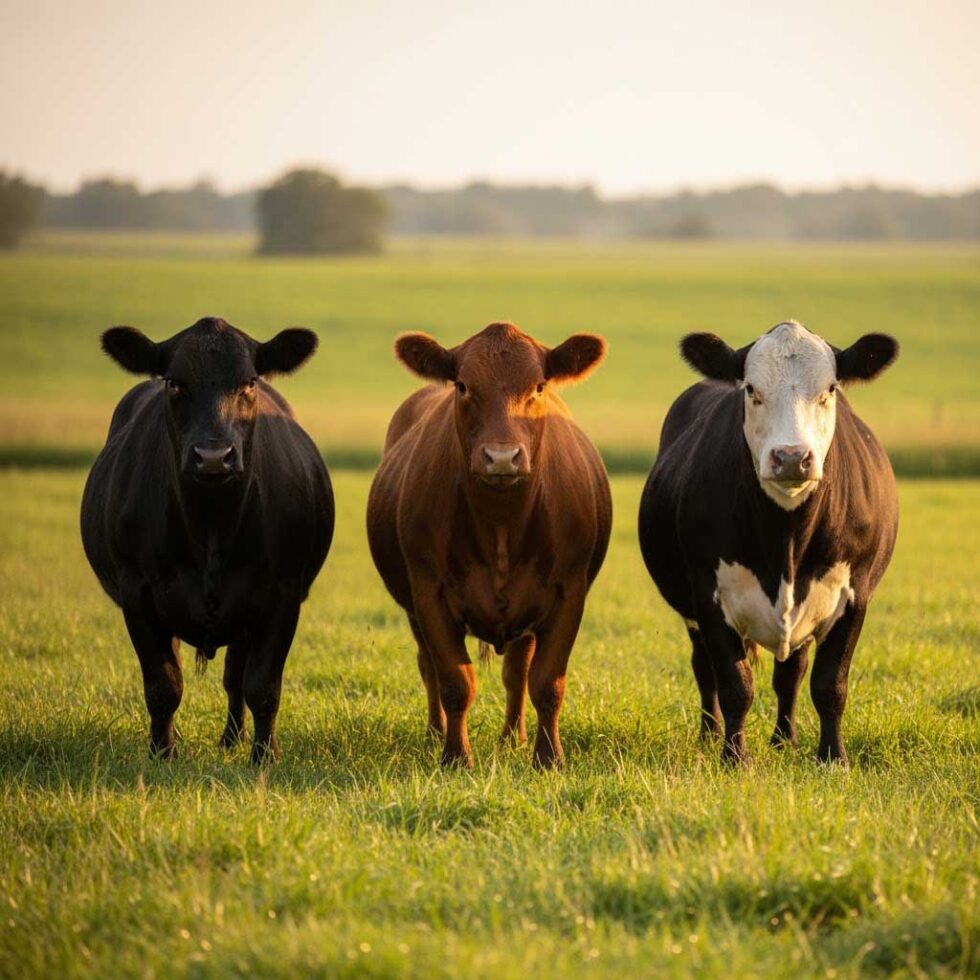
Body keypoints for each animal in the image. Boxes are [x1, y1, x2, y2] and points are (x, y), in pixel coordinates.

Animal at [81, 316, 333, 763]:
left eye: (249, 382)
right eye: (175, 383)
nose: (213, 456)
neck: (211, 524)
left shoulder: (282, 595)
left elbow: (262, 687)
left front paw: (264, 756)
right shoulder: (137, 593)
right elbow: (163, 684)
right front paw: (162, 754)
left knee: (235, 678)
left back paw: (233, 739)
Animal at [367, 321, 612, 769]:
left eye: (538, 386)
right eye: (463, 385)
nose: (501, 457)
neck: (501, 523)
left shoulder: (568, 593)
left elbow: (546, 682)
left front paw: (548, 758)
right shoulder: (428, 593)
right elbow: (454, 680)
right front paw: (455, 757)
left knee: (517, 672)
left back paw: (513, 736)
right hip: (413, 609)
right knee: (428, 667)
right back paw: (435, 733)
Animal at [638, 320, 898, 766]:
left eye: (830, 389)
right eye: (751, 390)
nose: (792, 457)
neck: (786, 541)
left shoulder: (855, 594)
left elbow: (829, 685)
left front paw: (833, 758)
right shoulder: (709, 595)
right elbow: (735, 684)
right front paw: (734, 757)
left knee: (790, 674)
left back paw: (784, 740)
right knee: (704, 668)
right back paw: (710, 734)